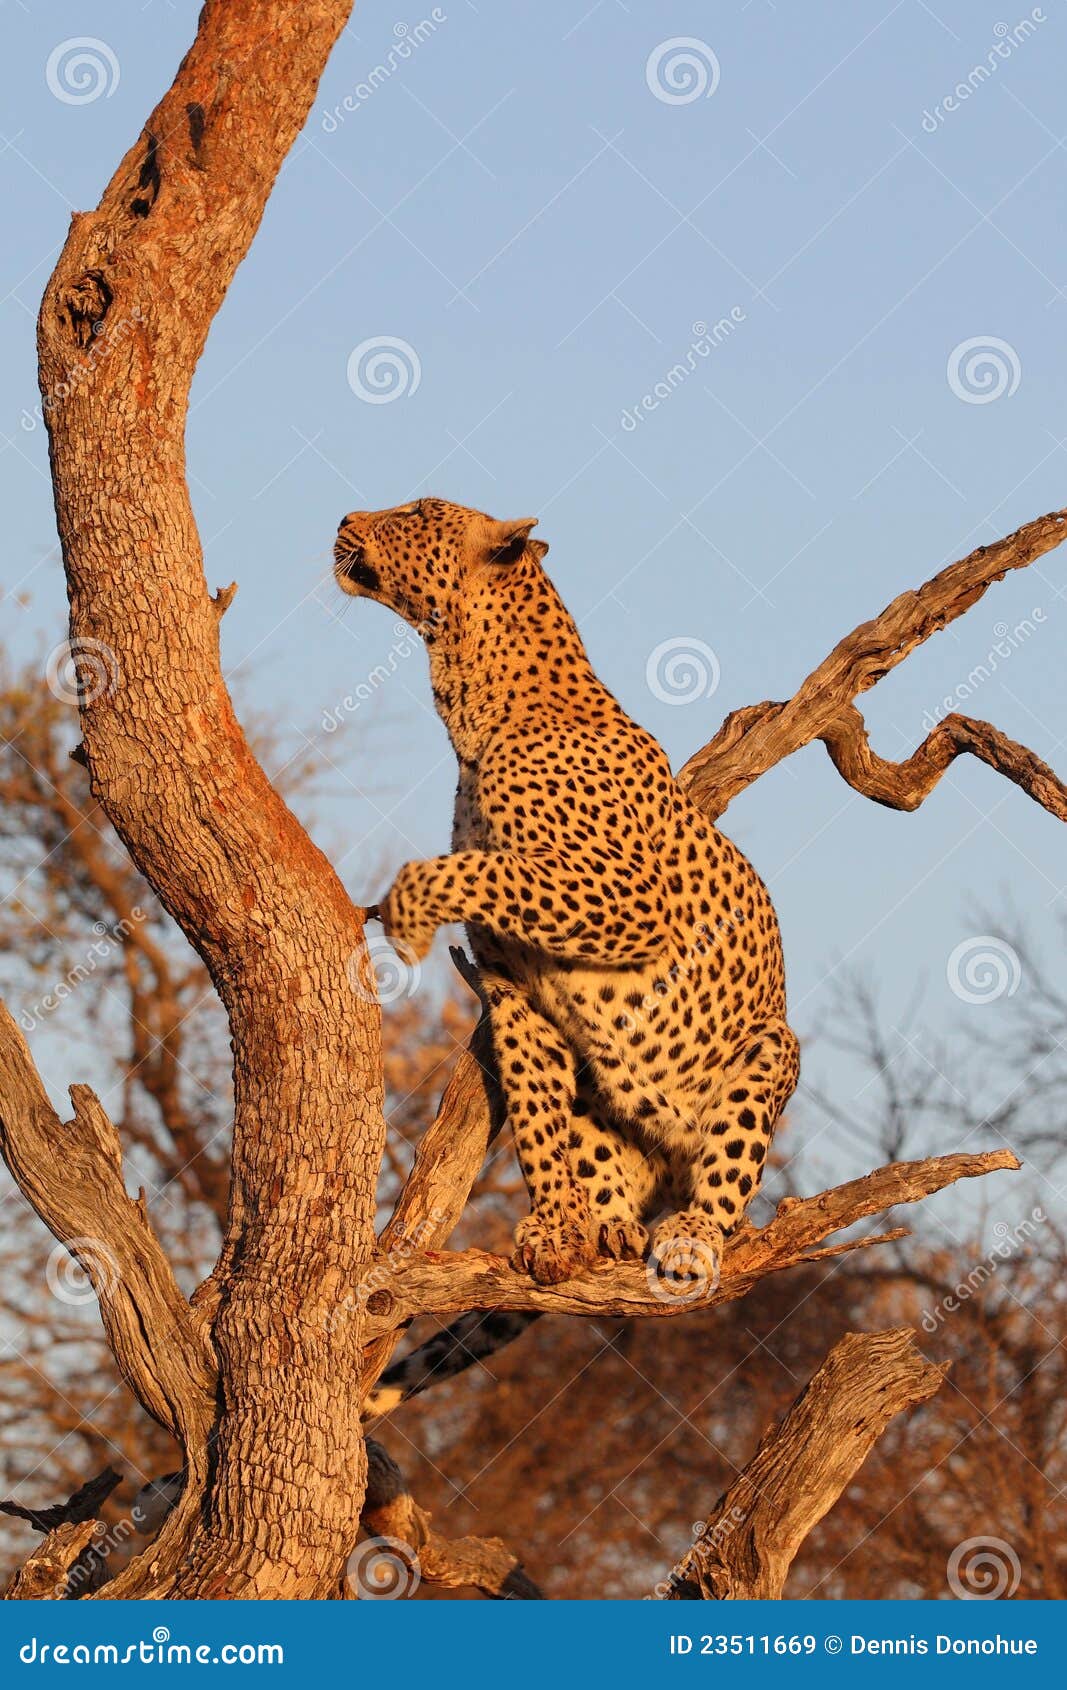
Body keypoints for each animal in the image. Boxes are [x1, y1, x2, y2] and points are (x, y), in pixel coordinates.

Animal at [334, 497, 799, 1288]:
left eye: (416, 512)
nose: (343, 520)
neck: (469, 706)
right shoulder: (514, 985)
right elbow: (535, 1113)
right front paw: (557, 1224)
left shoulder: (629, 896)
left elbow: (482, 869)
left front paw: (406, 911)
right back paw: (610, 1223)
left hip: (768, 1048)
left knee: (726, 1178)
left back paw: (692, 1235)